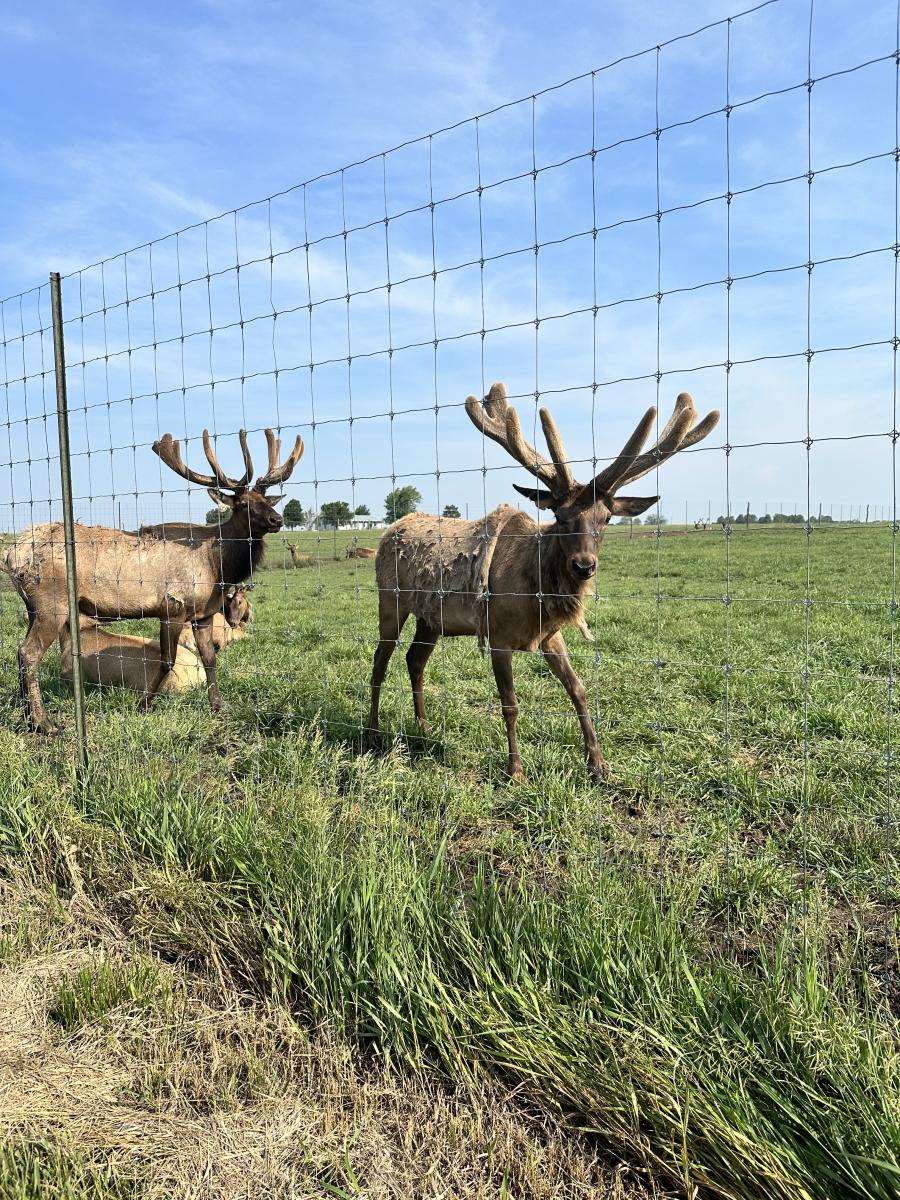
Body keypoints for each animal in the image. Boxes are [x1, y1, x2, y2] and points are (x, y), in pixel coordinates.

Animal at [4, 428, 302, 733]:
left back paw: (28, 717)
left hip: (33, 607)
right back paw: (45, 723)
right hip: (52, 604)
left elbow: (210, 659)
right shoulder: (172, 608)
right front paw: (143, 704)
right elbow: (167, 661)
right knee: (29, 652)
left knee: (20, 651)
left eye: (267, 501)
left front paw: (218, 708)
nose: (277, 519)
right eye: (243, 504)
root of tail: (12, 554)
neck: (217, 568)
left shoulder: (203, 614)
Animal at [367, 383, 719, 782]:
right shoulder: (498, 636)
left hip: (432, 618)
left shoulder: (550, 634)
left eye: (606, 518)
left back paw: (424, 727)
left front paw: (598, 764)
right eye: (559, 515)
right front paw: (515, 770)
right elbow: (510, 704)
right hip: (390, 601)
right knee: (379, 662)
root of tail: (390, 530)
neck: (533, 593)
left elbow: (579, 689)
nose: (584, 565)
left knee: (414, 660)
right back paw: (373, 733)